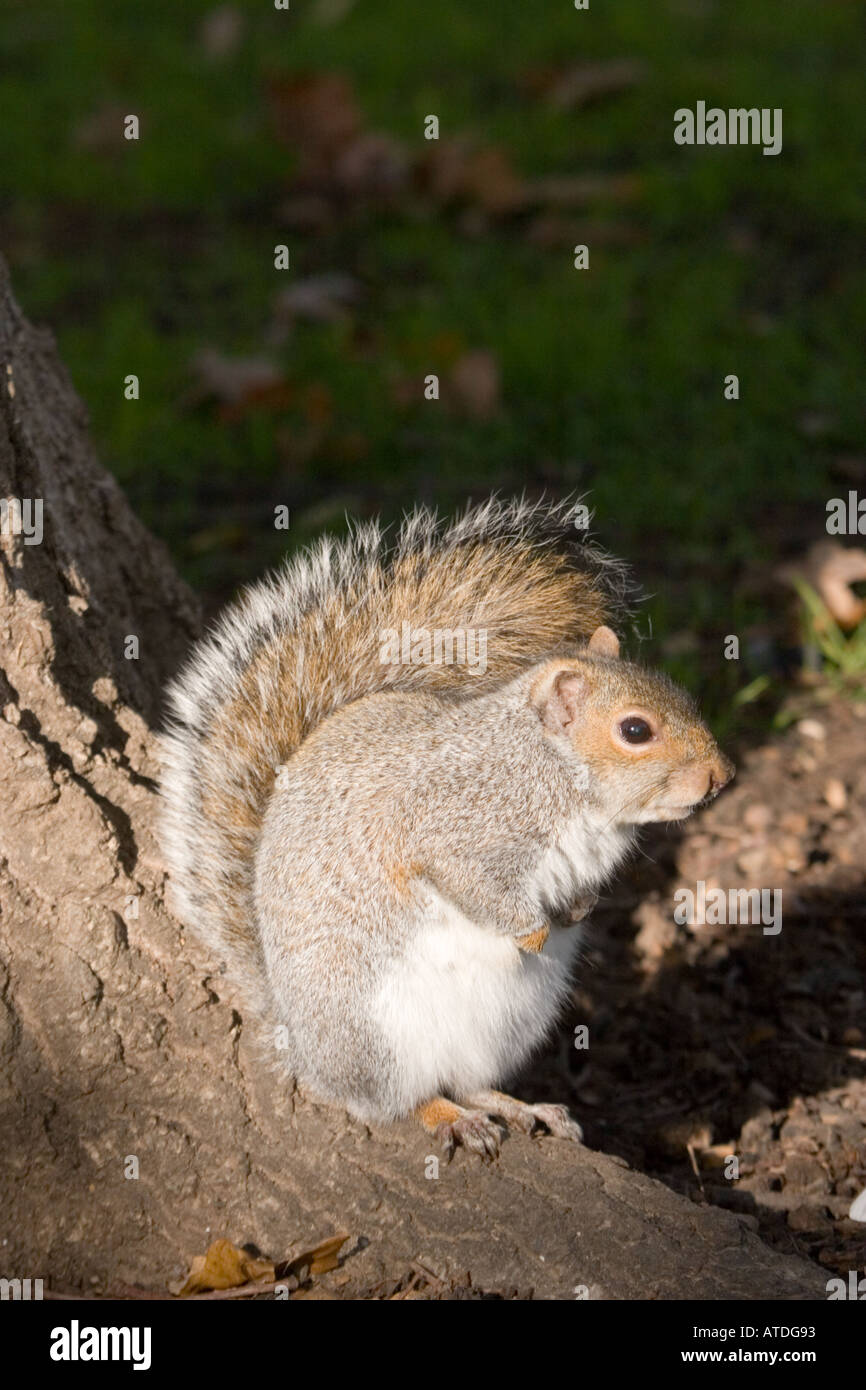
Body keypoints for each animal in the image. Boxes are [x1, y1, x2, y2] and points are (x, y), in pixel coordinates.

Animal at [160, 497, 733, 1158]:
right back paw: (448, 1116)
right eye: (635, 730)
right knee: (396, 1099)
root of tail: (300, 1045)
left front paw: (576, 911)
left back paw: (520, 1106)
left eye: (680, 691)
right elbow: (475, 889)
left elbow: (579, 893)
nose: (722, 775)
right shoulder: (452, 832)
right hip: (376, 1038)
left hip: (506, 1030)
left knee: (469, 1080)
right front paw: (532, 934)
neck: (561, 780)